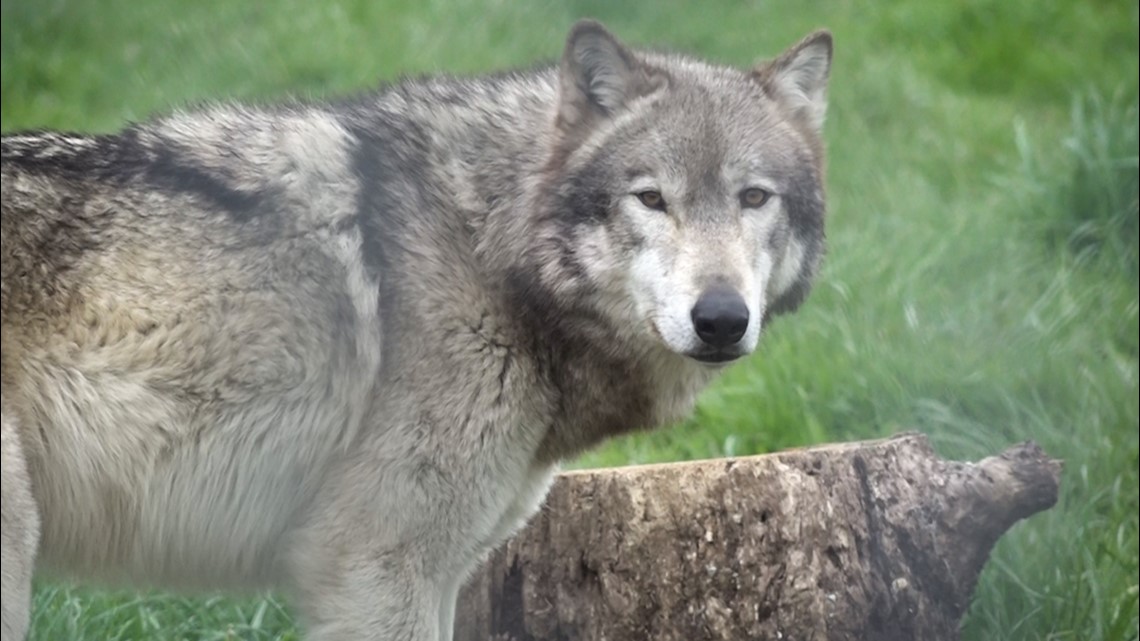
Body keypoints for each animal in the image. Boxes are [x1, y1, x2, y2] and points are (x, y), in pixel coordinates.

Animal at [0, 19, 831, 641]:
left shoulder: (430, 571)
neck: (489, 252)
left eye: (754, 197)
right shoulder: (376, 565)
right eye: (652, 199)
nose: (720, 318)